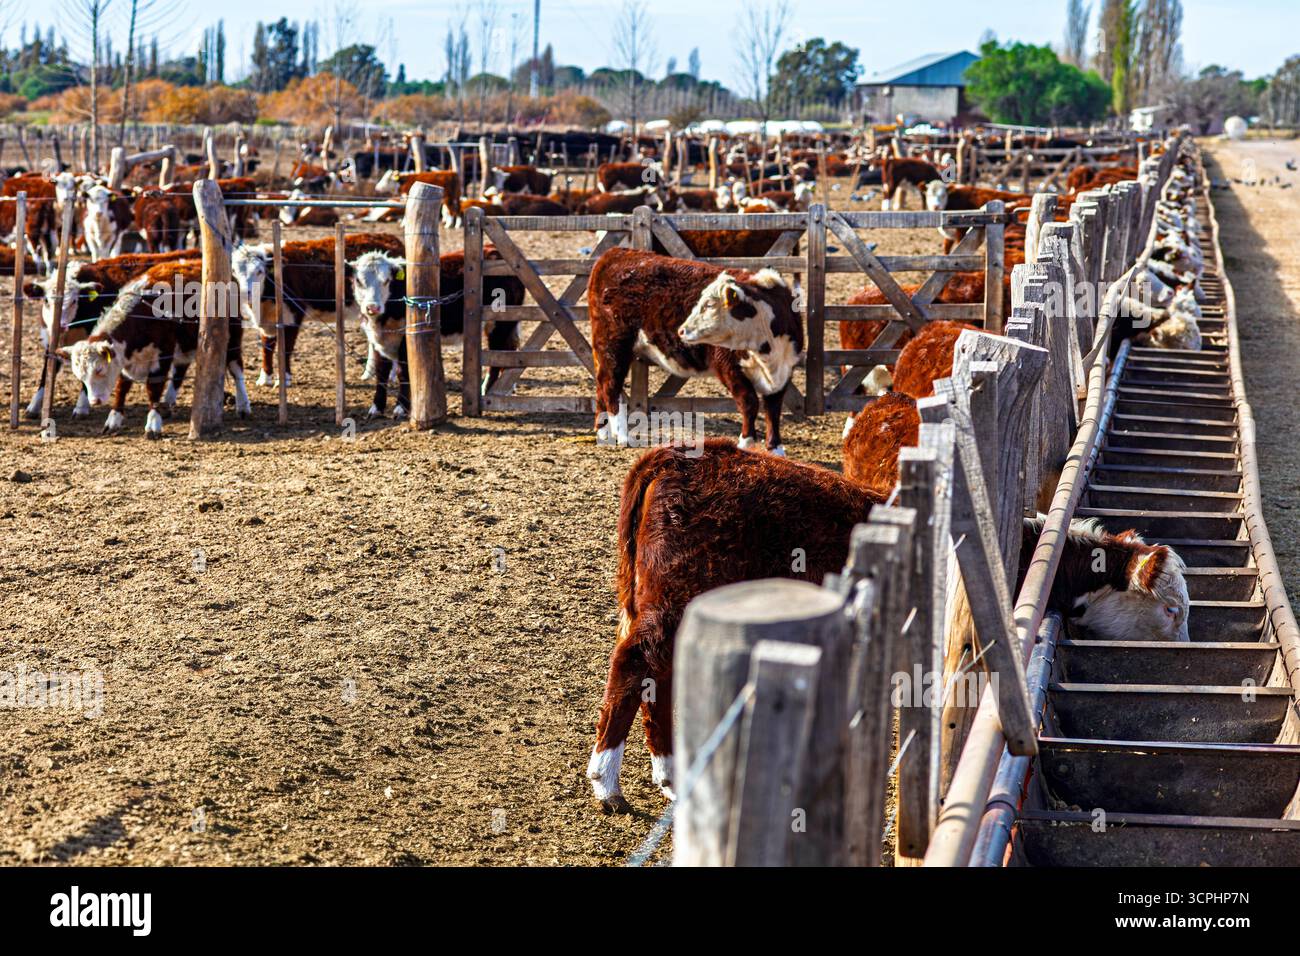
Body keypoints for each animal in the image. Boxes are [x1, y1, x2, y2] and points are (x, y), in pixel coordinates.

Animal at [348, 246, 526, 415]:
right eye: (358, 280)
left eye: (386, 281)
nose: (372, 307)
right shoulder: (378, 338)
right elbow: (381, 372)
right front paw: (376, 407)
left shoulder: (407, 337)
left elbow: (403, 371)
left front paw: (401, 408)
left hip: (499, 323)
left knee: (498, 356)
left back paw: (487, 391)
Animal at [587, 248, 803, 454]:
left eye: (709, 304)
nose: (681, 330)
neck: (766, 351)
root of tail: (615, 254)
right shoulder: (728, 367)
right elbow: (749, 402)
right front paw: (746, 443)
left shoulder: (784, 370)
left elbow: (773, 409)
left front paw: (775, 448)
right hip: (614, 345)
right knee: (610, 385)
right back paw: (621, 435)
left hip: (607, 350)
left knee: (601, 384)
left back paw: (603, 431)